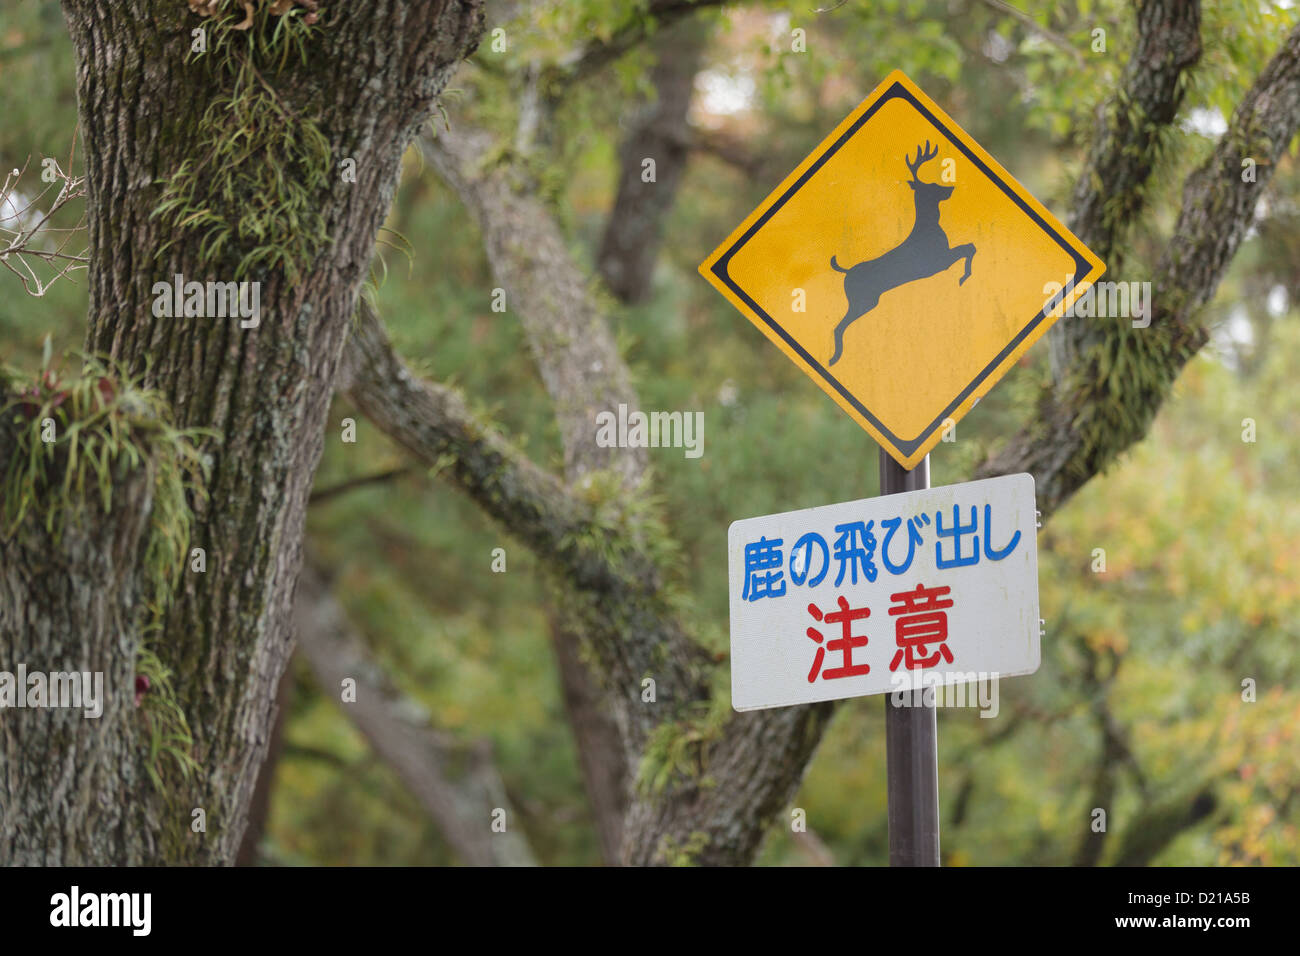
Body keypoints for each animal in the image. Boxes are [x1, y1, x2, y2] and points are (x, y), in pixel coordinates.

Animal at [828, 141, 976, 366]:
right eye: (931, 186)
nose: (950, 187)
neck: (929, 227)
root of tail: (846, 272)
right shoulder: (938, 262)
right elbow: (969, 248)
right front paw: (964, 277)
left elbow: (970, 247)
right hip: (862, 300)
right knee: (839, 326)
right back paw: (835, 359)